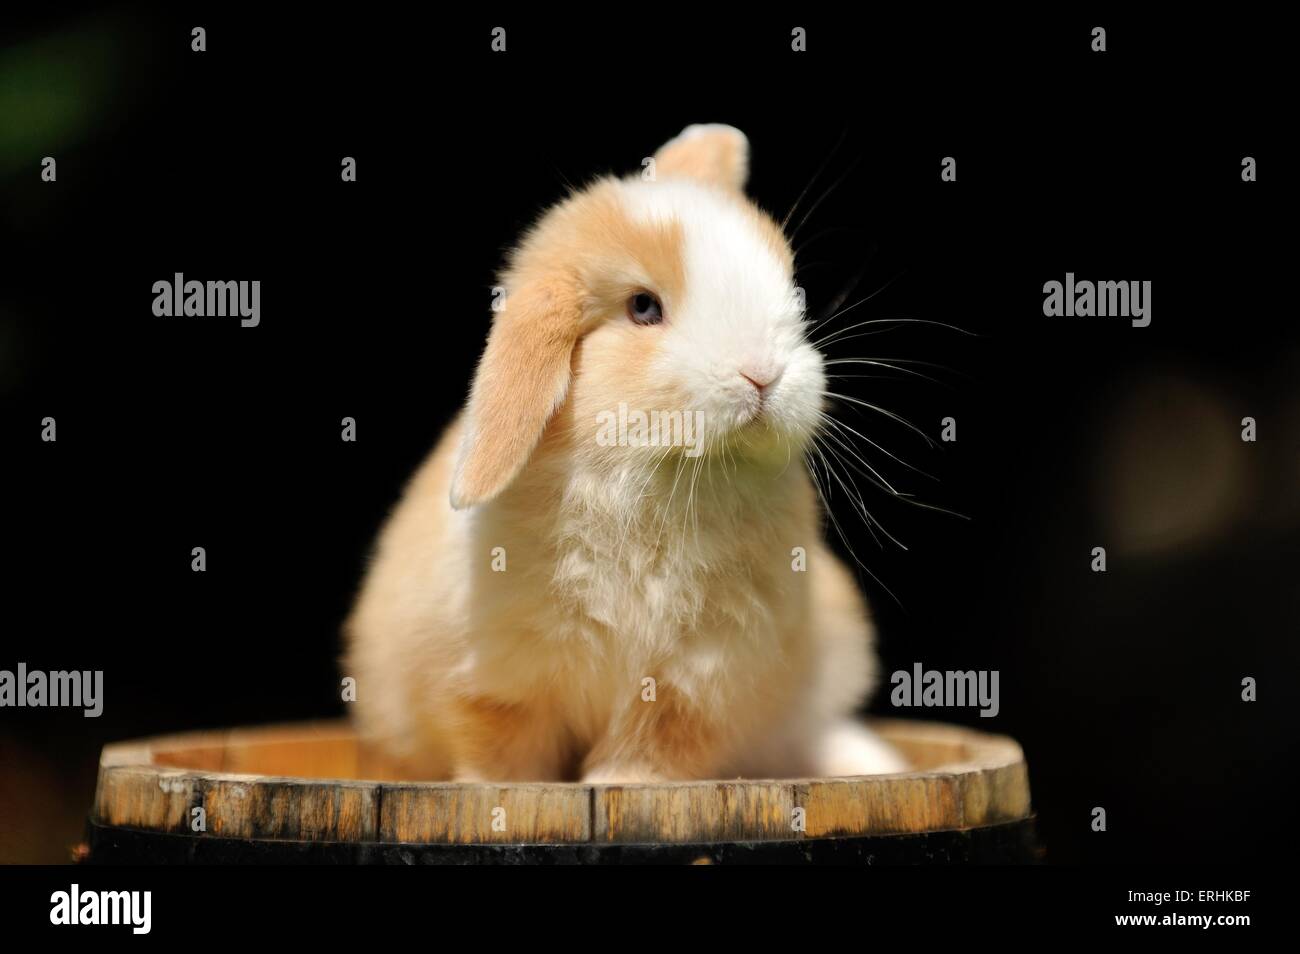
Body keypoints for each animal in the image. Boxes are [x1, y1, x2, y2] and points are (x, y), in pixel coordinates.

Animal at [344, 124, 907, 783]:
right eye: (643, 307)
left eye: (789, 287)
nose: (763, 375)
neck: (657, 477)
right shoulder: (497, 679)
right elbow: (502, 743)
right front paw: (502, 791)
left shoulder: (696, 678)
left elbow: (656, 743)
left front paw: (623, 786)